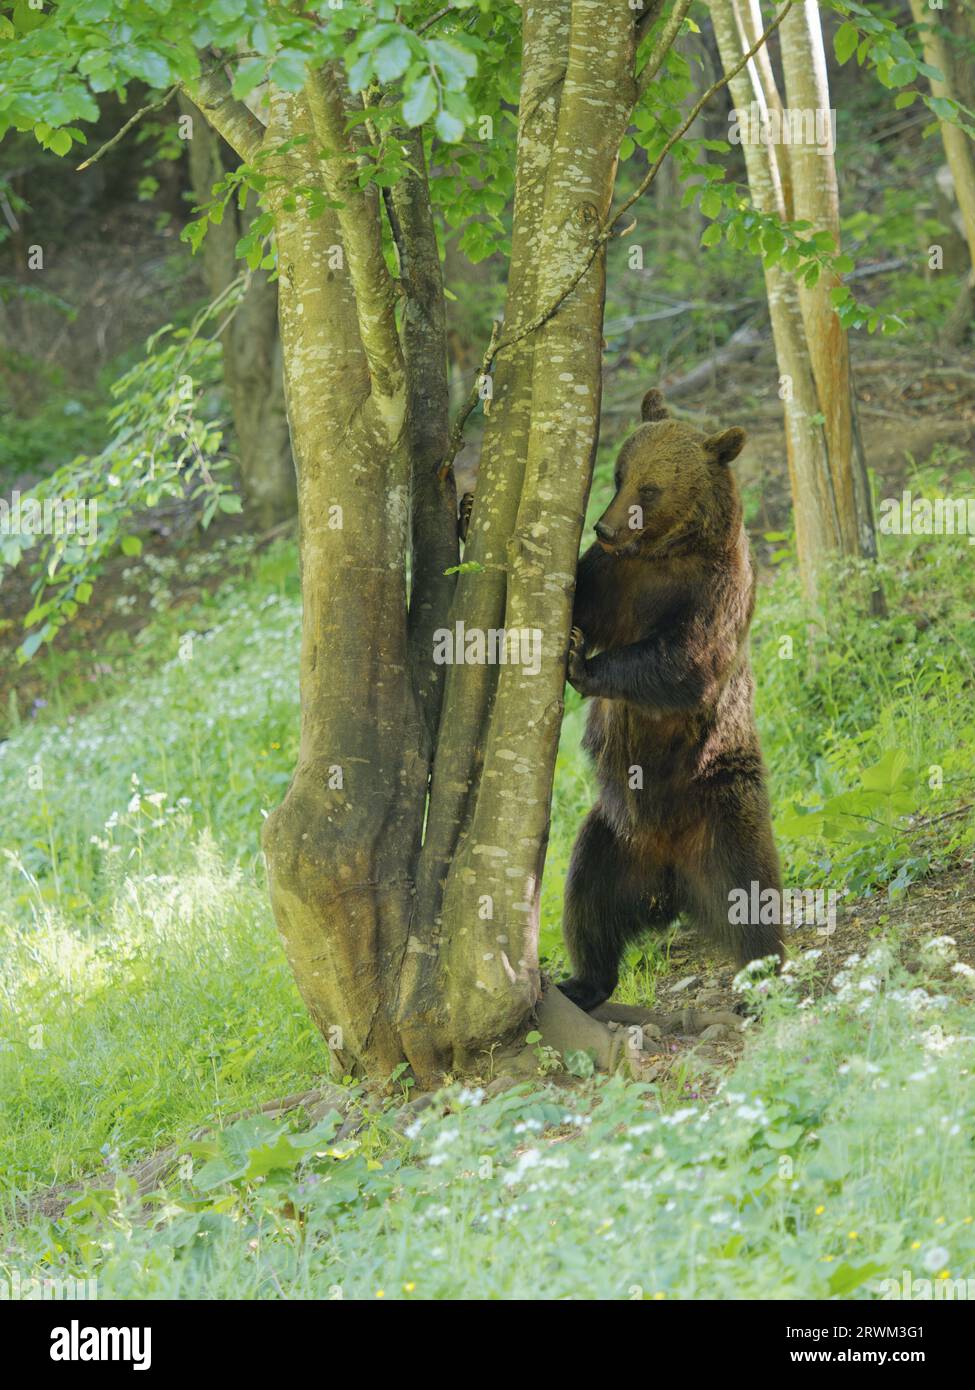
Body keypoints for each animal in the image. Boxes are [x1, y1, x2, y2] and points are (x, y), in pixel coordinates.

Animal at [559, 387, 784, 1013]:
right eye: (618, 474)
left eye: (652, 488)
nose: (604, 527)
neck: (662, 555)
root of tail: (671, 881)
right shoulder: (613, 578)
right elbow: (582, 598)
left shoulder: (712, 593)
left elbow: (682, 664)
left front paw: (581, 660)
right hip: (611, 835)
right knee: (586, 901)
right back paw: (581, 982)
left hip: (725, 809)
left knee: (753, 899)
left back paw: (766, 979)